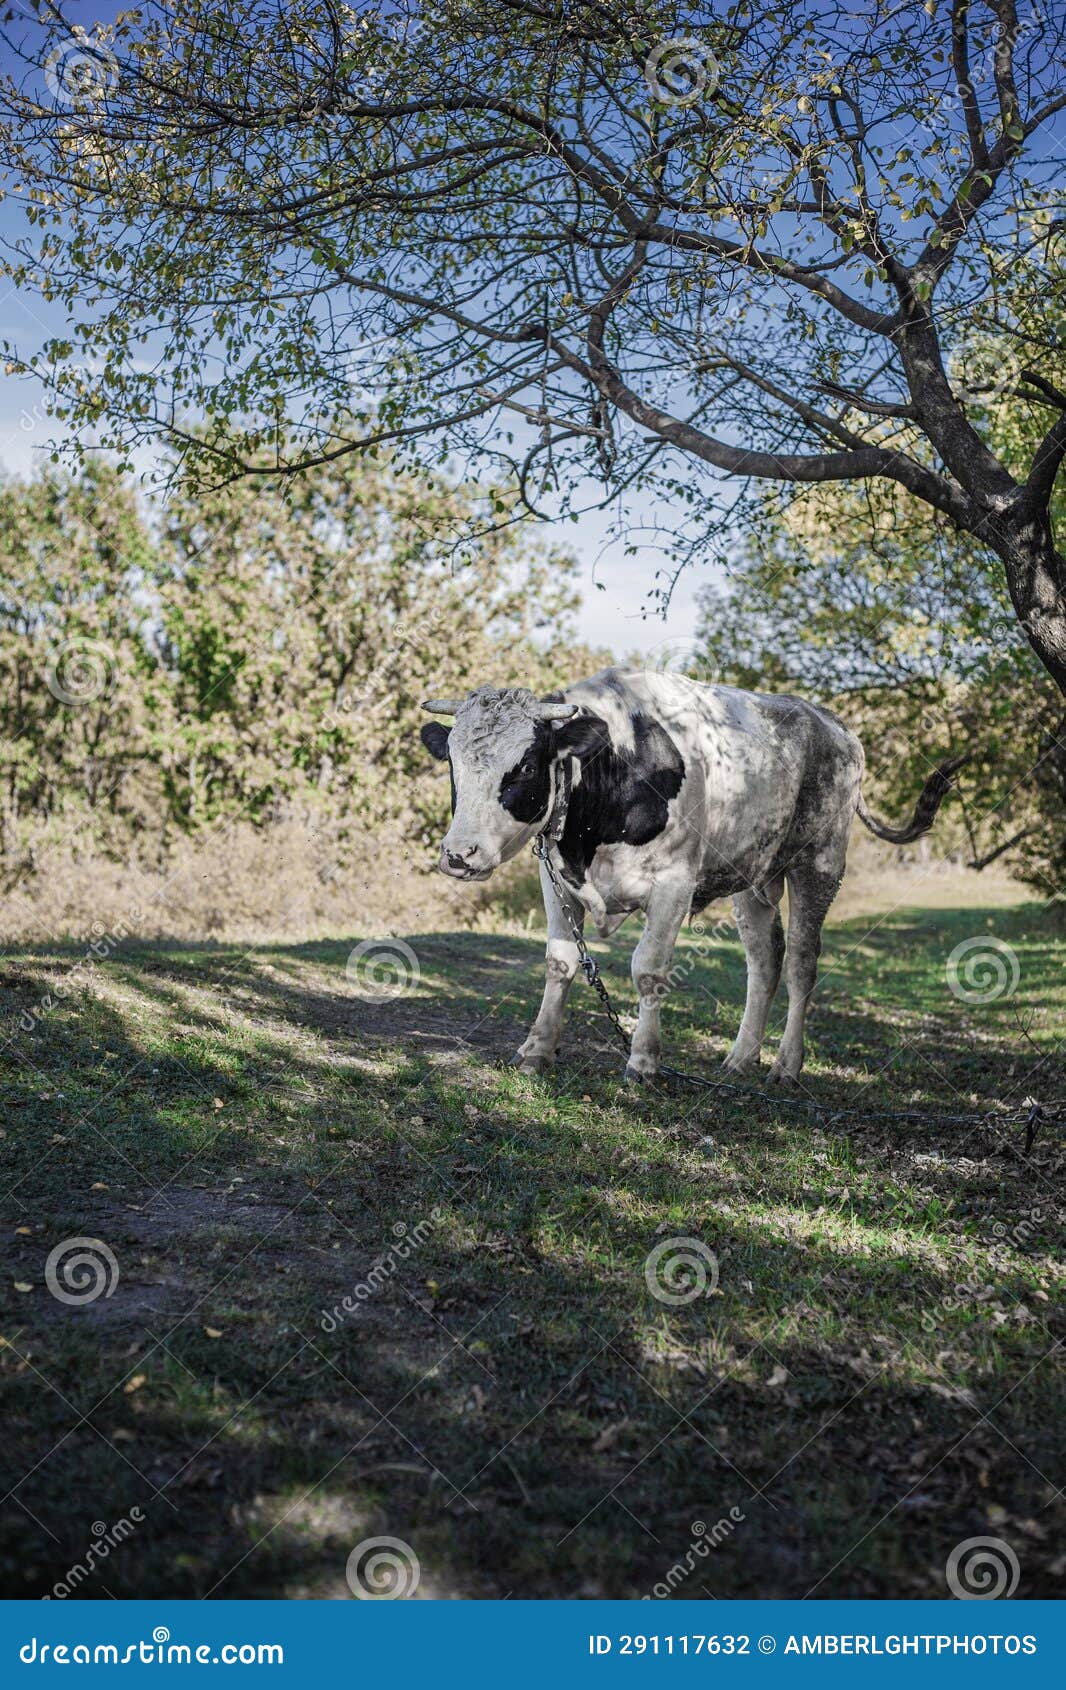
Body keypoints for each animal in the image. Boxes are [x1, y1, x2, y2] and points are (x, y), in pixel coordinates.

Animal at [420, 668, 963, 1084]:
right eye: (453, 764)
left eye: (527, 765)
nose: (459, 854)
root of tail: (833, 725)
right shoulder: (555, 878)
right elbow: (560, 963)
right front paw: (537, 1048)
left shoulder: (673, 885)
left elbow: (648, 970)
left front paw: (642, 1061)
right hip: (754, 879)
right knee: (765, 960)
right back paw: (741, 1057)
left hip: (819, 864)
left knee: (801, 963)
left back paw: (786, 1065)